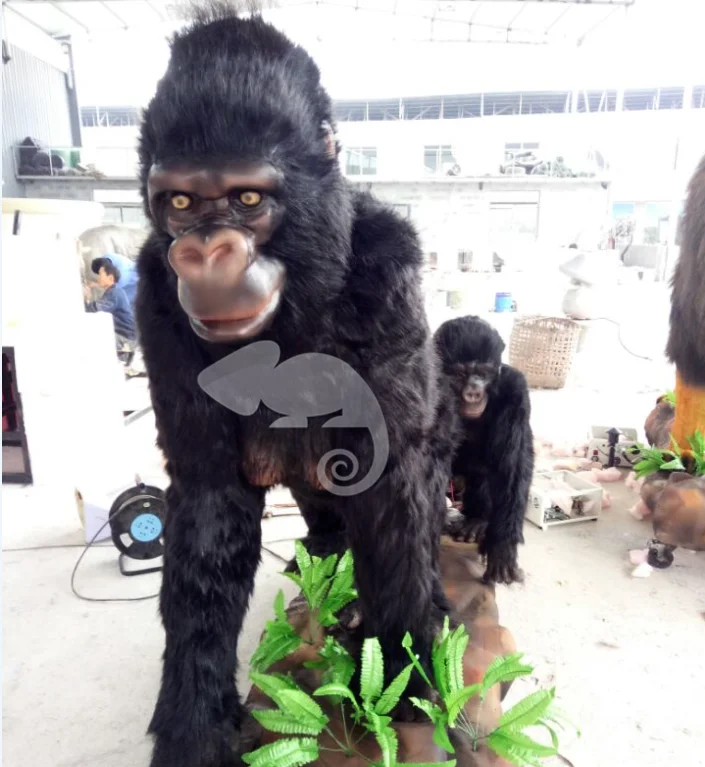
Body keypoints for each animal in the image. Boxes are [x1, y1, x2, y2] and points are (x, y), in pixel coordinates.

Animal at [135, 10, 451, 766]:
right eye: (181, 202)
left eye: (248, 199)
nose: (205, 252)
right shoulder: (155, 302)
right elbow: (208, 503)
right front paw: (194, 728)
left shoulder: (387, 275)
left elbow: (394, 482)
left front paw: (405, 697)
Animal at [434, 315, 534, 585]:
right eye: (460, 374)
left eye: (483, 373)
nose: (473, 392)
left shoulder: (516, 388)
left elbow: (513, 463)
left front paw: (502, 548)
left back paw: (477, 522)